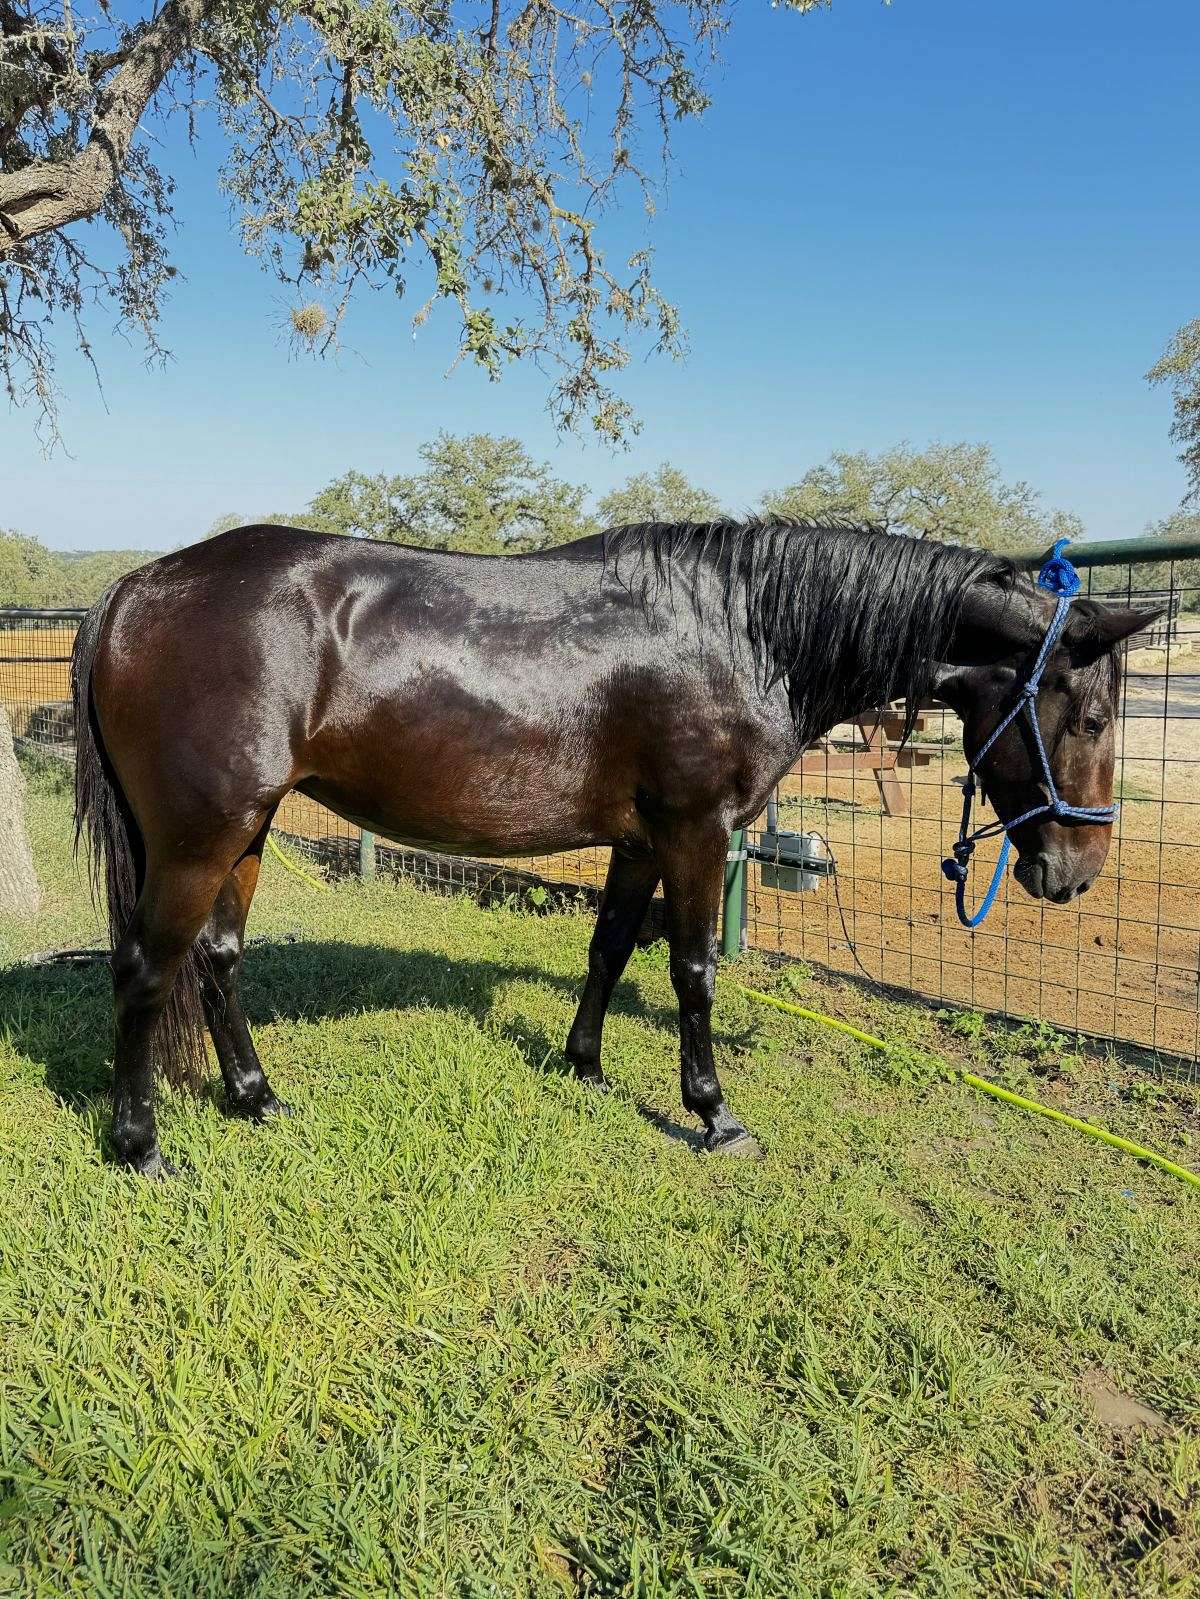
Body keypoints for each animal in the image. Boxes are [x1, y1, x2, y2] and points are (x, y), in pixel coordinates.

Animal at [71, 518, 1158, 1176]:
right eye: (1095, 716)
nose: (1076, 874)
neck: (742, 630)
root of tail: (132, 588)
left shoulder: (640, 841)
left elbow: (607, 950)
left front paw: (585, 1066)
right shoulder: (696, 829)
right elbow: (693, 969)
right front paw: (714, 1114)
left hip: (246, 832)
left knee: (217, 961)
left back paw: (256, 1100)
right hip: (199, 837)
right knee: (146, 971)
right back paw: (140, 1145)